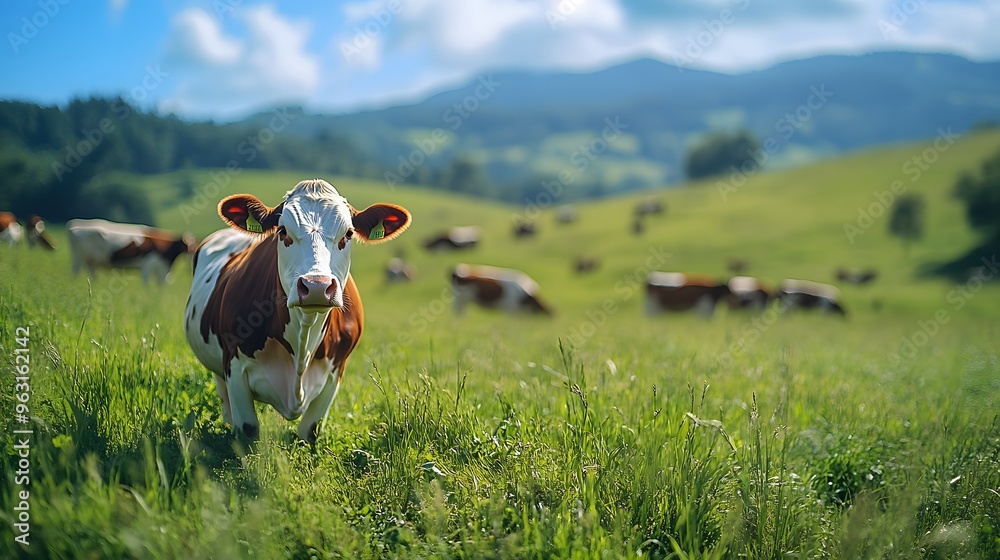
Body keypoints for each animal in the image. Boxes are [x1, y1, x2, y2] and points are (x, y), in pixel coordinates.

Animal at [67, 219, 196, 284]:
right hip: (78, 257)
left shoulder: (159, 269)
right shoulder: (147, 264)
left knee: (92, 276)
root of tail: (75, 227)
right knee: (75, 270)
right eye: (190, 246)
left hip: (91, 261)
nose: (193, 255)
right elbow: (146, 283)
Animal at [184, 179, 411, 443]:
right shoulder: (235, 366)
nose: (316, 286)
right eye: (282, 231)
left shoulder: (336, 371)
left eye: (349, 233)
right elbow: (248, 429)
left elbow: (309, 431)